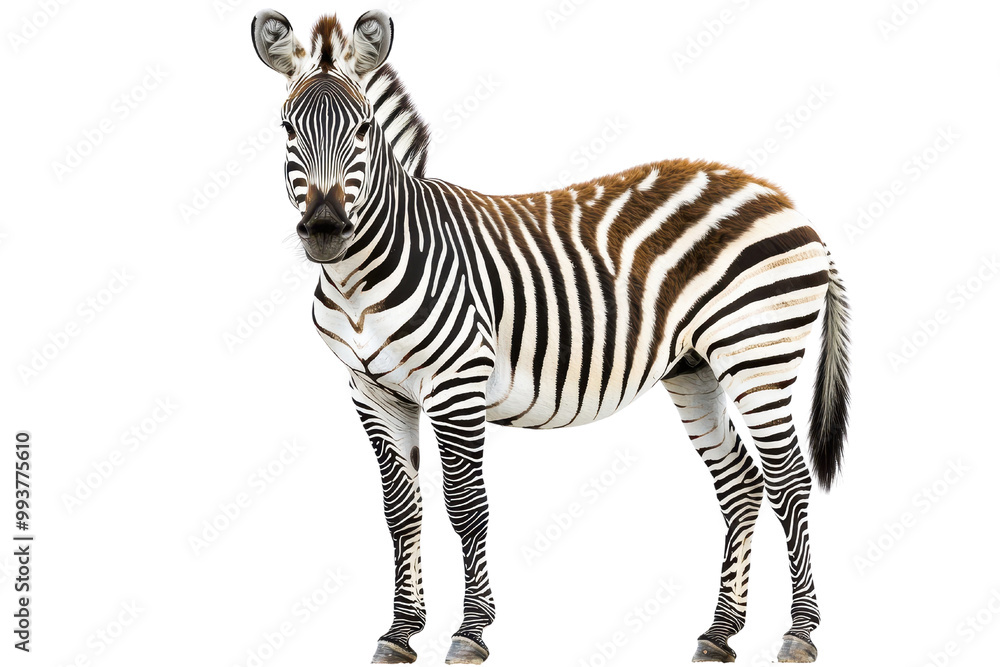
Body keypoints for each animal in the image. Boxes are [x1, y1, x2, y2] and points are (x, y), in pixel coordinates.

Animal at [250, 9, 851, 665]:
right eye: (287, 128)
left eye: (361, 129)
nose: (324, 231)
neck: (362, 277)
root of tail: (785, 202)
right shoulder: (372, 391)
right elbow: (401, 511)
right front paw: (401, 632)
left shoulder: (457, 383)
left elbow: (466, 505)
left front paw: (470, 632)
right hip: (694, 366)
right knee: (739, 481)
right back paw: (719, 633)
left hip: (758, 354)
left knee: (788, 481)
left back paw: (799, 631)